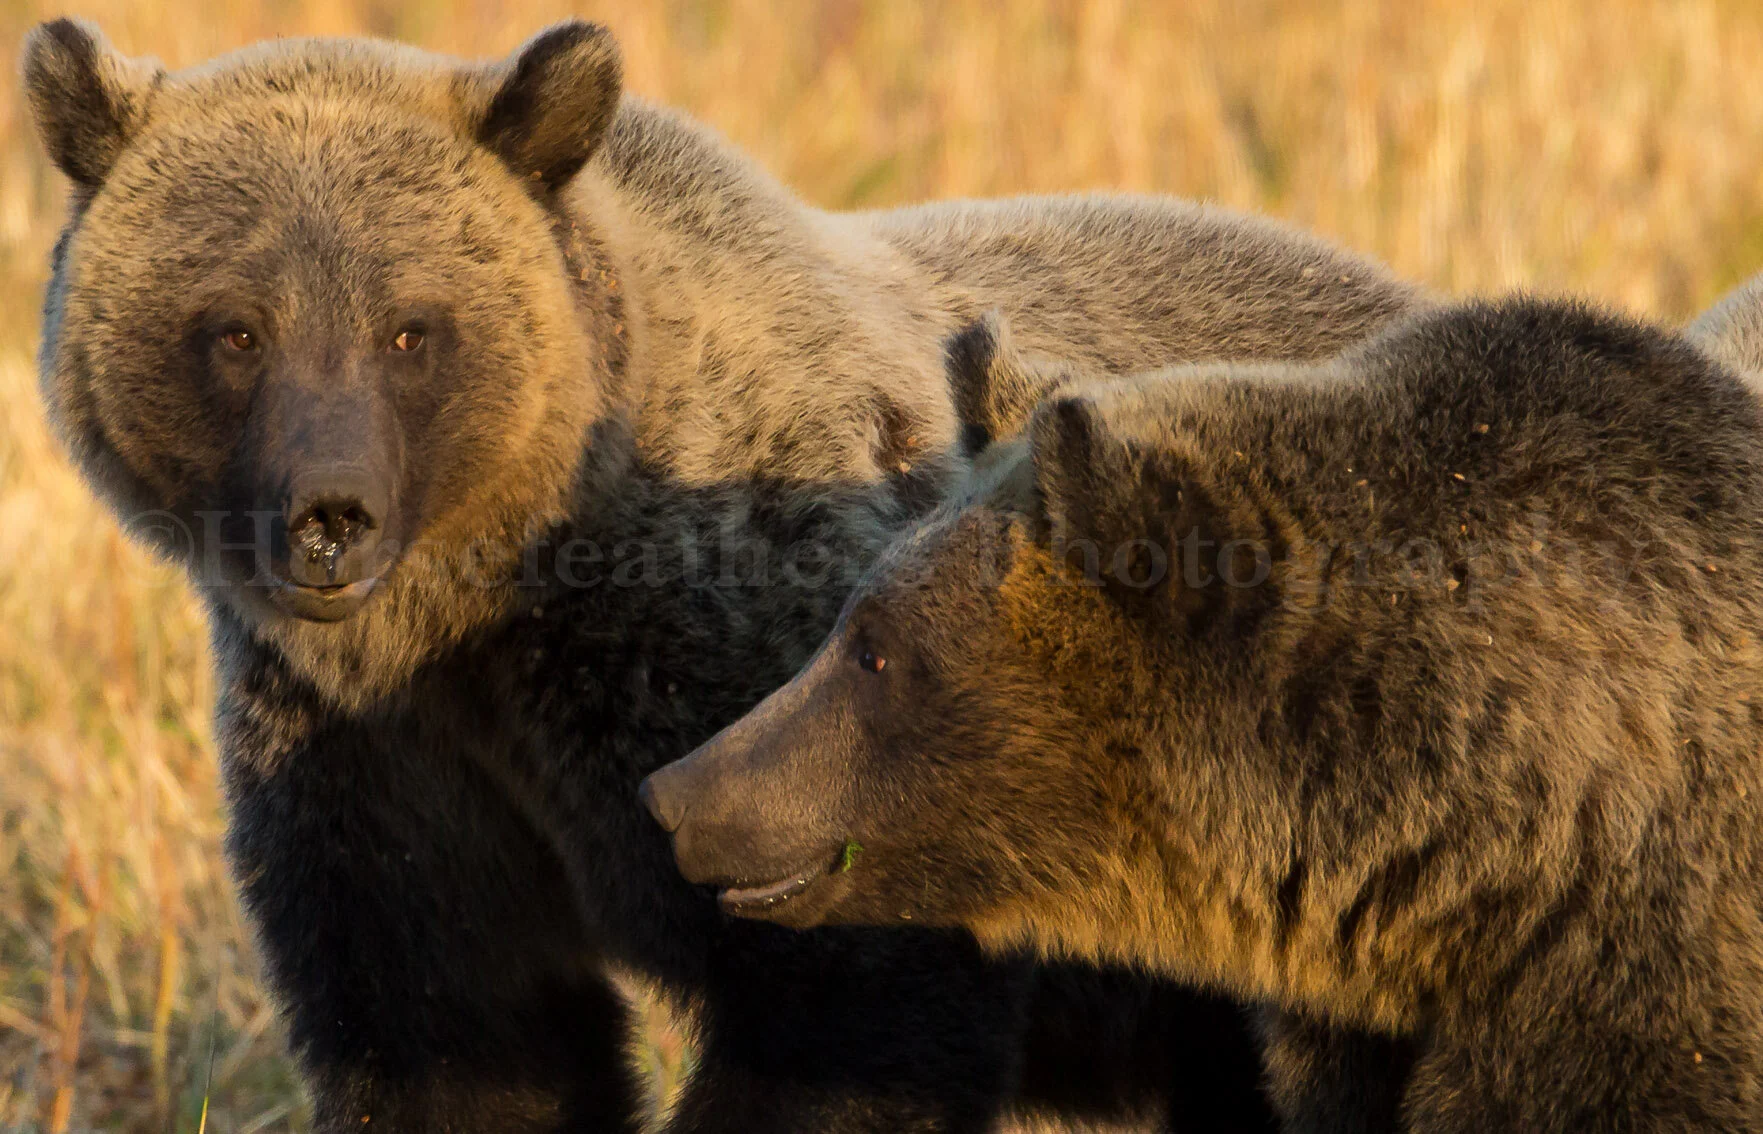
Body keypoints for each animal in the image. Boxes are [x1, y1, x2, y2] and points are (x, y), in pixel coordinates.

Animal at [23, 17, 1427, 1133]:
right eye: (234, 327)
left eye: (410, 327)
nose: (329, 518)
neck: (492, 608)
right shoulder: (380, 757)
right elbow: (452, 1031)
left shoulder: (779, 679)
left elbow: (847, 1008)